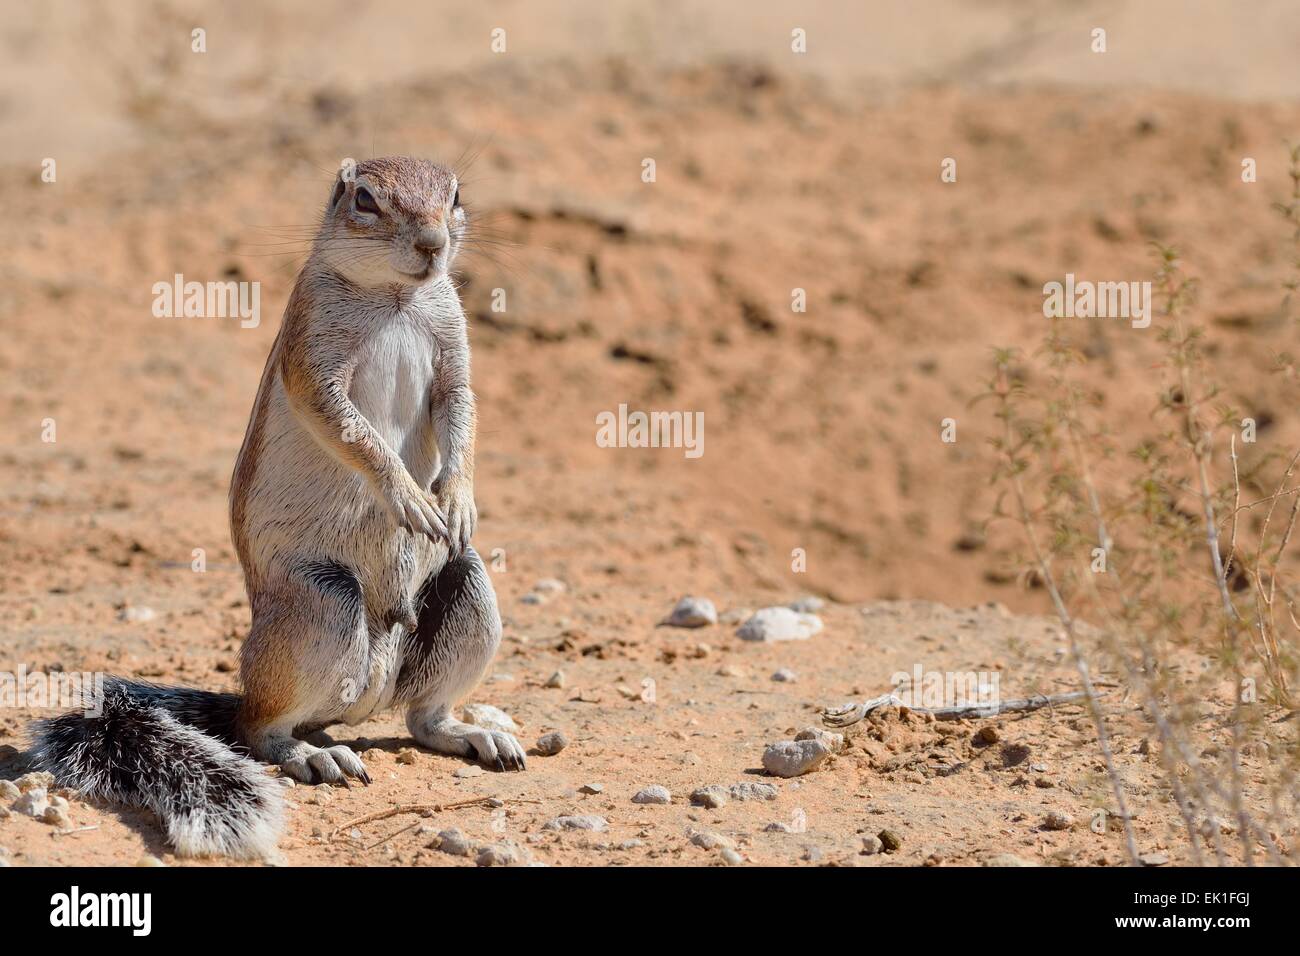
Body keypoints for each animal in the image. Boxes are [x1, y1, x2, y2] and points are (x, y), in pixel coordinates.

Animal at [32, 157, 524, 860]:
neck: (397, 298)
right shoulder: (312, 352)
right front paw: (407, 494)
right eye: (365, 199)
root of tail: (359, 701)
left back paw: (472, 734)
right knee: (264, 729)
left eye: (455, 194)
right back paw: (312, 755)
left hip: (466, 590)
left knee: (422, 716)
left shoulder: (453, 349)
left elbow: (462, 411)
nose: (433, 245)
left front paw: (455, 501)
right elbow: (348, 428)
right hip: (321, 604)